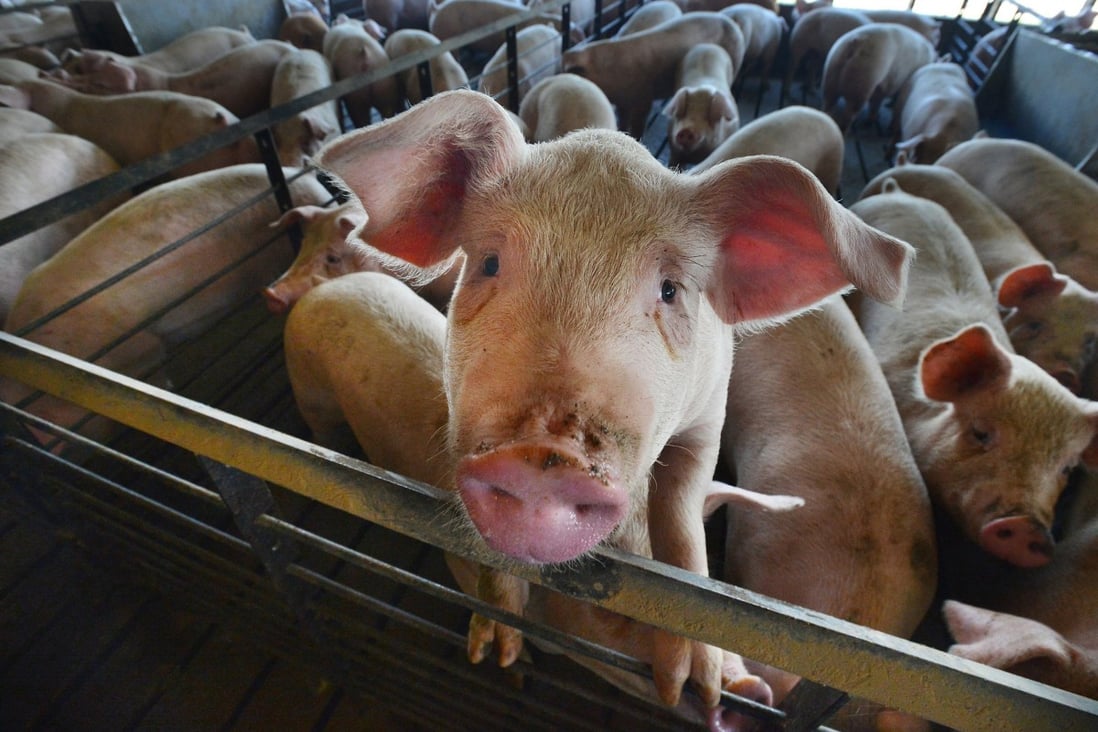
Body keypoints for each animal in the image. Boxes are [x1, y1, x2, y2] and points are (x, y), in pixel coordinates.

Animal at [562, 12, 746, 139]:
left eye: (567, 71)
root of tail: (732, 23)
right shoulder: (623, 102)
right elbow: (623, 119)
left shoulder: (643, 98)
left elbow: (638, 124)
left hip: (736, 59)